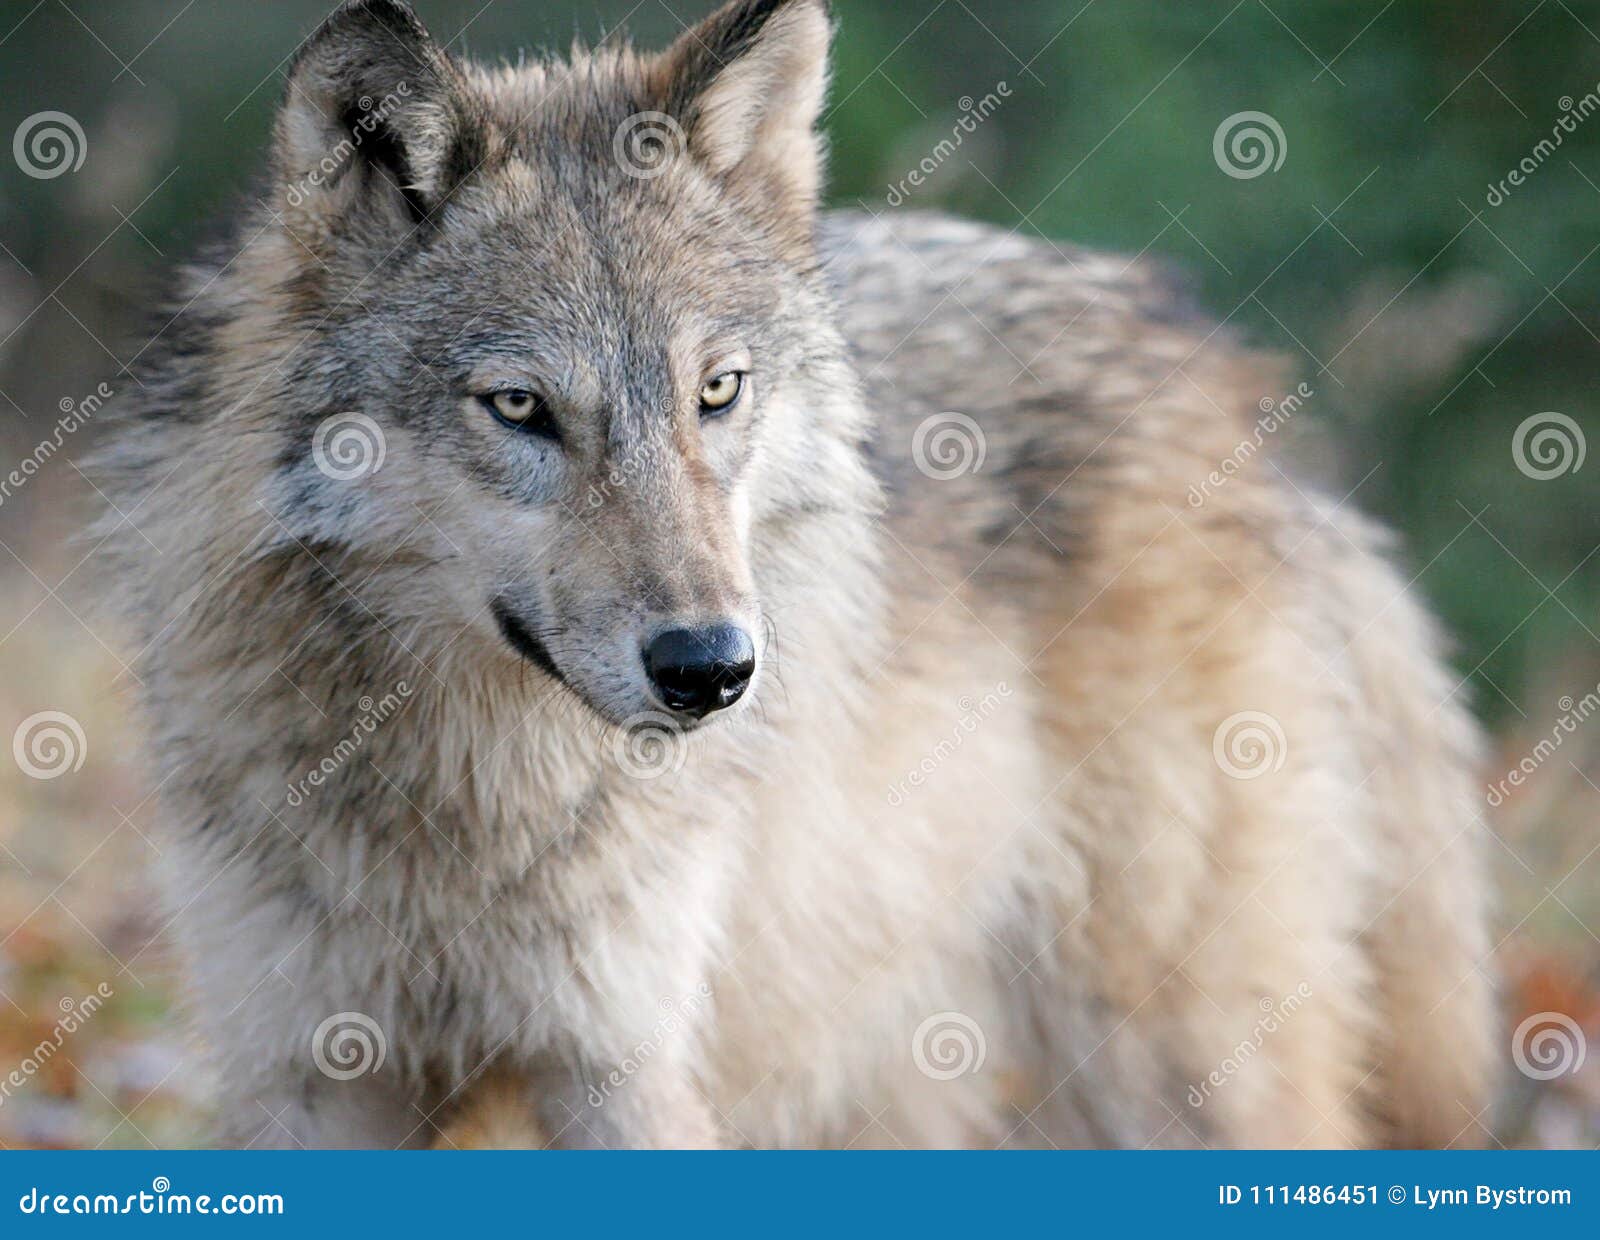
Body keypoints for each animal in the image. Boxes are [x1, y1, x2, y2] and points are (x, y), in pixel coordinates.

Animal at [96, 0, 1493, 1148]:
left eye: (717, 392)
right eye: (521, 408)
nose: (711, 669)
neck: (464, 799)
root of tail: (1235, 385)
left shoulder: (626, 1071)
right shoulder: (315, 1074)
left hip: (1172, 1057)